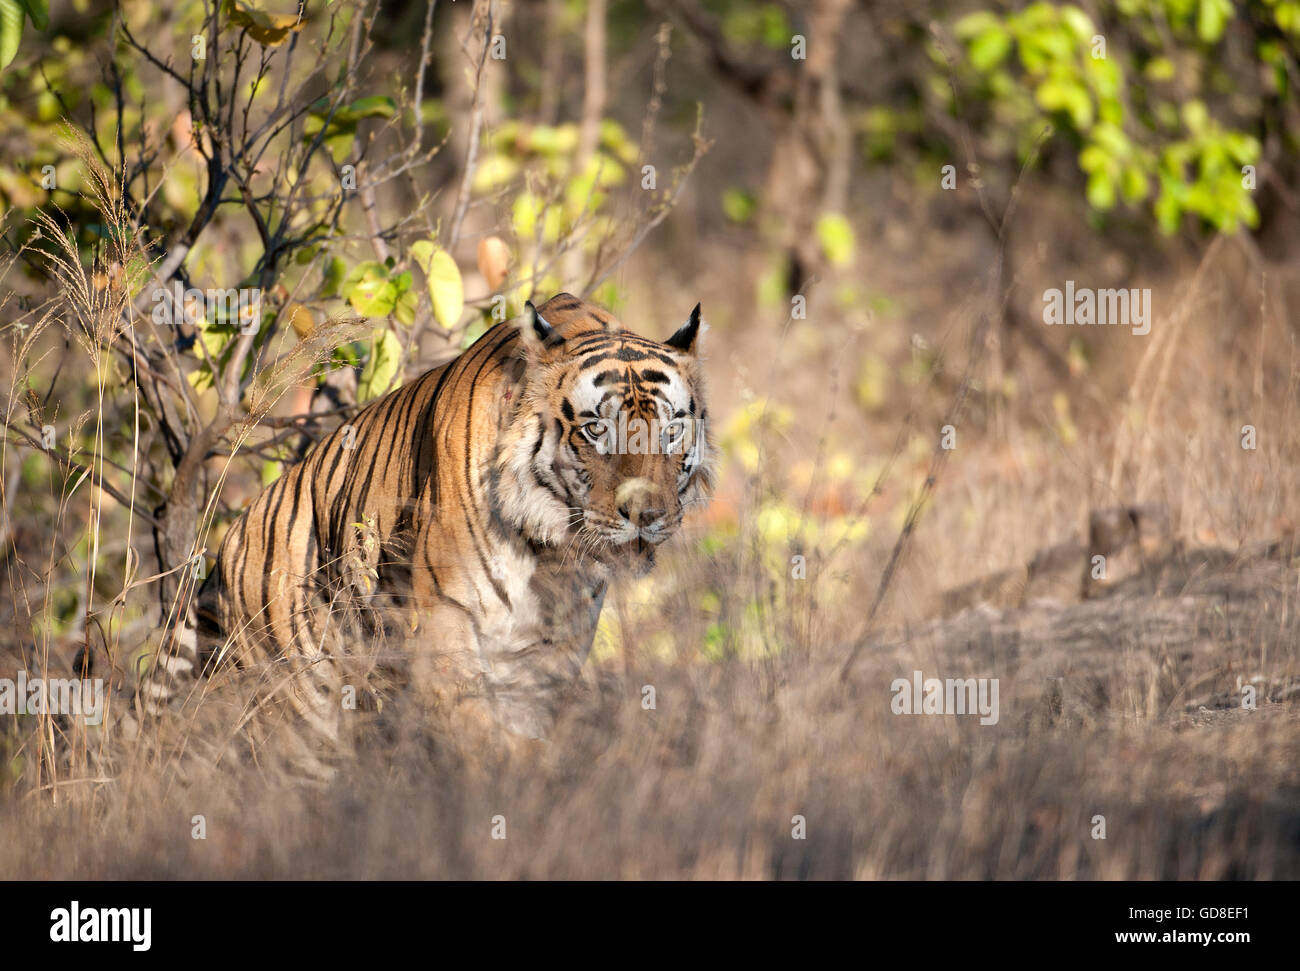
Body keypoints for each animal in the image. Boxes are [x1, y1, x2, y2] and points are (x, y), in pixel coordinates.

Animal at [124, 292, 715, 770]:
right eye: (595, 430)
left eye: (671, 430)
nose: (645, 514)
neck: (549, 553)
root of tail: (225, 549)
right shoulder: (444, 617)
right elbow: (475, 723)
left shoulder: (553, 649)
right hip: (299, 714)